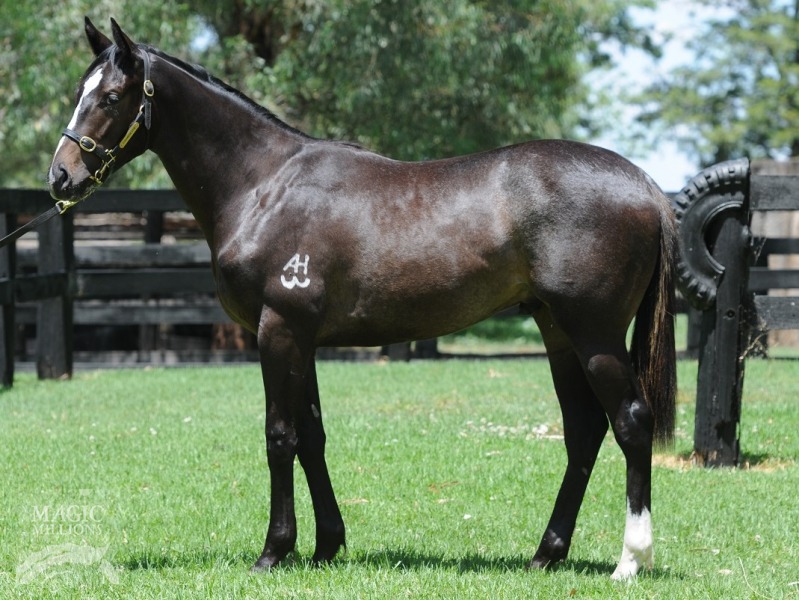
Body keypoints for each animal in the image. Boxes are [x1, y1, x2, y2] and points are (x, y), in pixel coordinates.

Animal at [48, 18, 676, 579]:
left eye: (110, 96)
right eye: (78, 92)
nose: (60, 177)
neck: (264, 186)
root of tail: (645, 186)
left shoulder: (278, 330)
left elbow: (279, 437)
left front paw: (273, 552)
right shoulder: (301, 337)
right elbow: (312, 437)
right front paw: (326, 546)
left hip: (593, 333)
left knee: (631, 421)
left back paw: (630, 561)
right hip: (556, 332)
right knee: (583, 431)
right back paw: (546, 554)